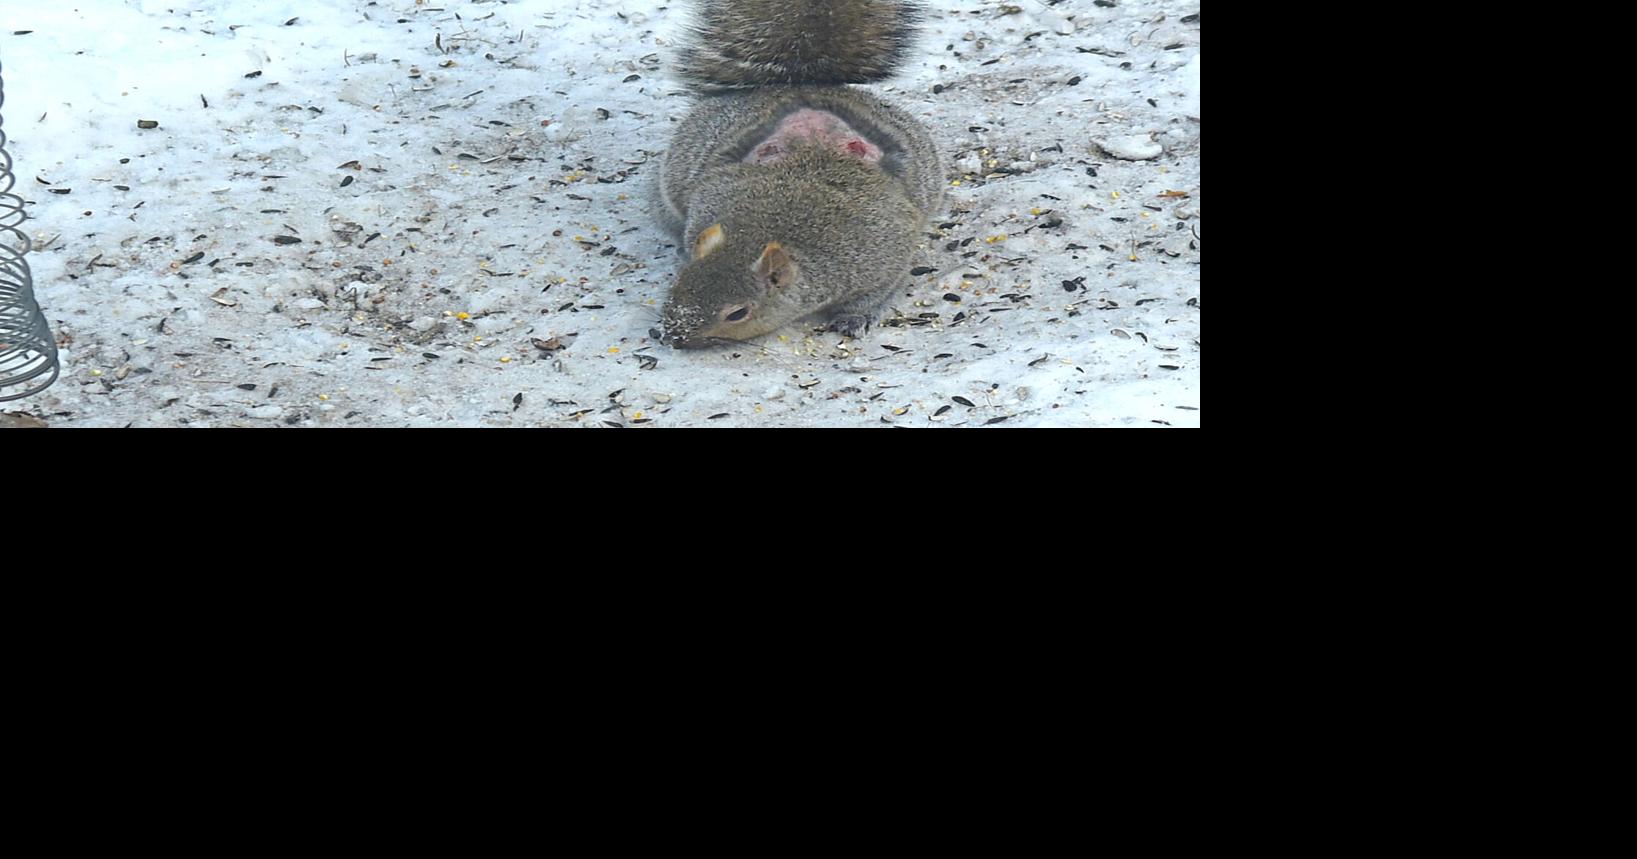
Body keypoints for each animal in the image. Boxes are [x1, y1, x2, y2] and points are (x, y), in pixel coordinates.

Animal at [656, 0, 943, 349]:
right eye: (679, 282)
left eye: (738, 313)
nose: (674, 335)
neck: (762, 231)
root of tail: (804, 87)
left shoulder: (883, 259)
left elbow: (875, 294)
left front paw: (854, 318)